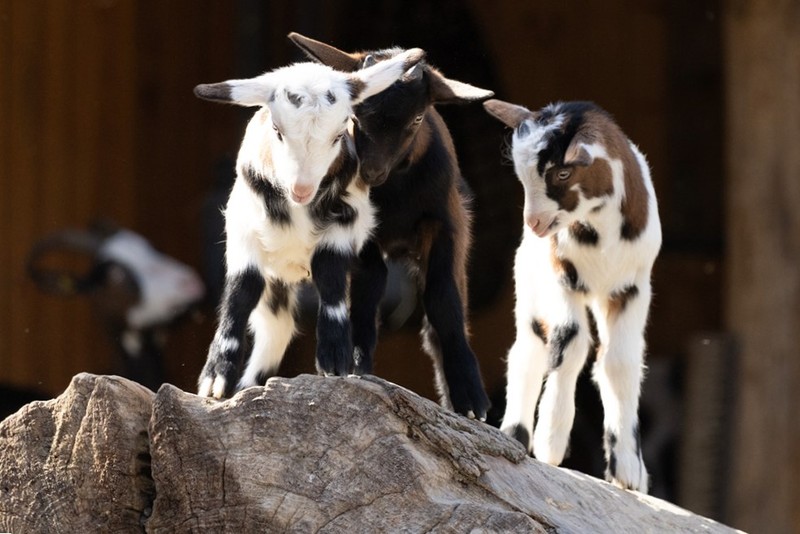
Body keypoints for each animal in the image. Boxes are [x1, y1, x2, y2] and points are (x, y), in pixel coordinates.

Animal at [194, 50, 426, 399]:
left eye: (340, 133)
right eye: (277, 129)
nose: (301, 189)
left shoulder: (347, 222)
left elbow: (329, 275)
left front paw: (335, 360)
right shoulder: (242, 226)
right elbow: (242, 289)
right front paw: (216, 379)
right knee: (275, 328)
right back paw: (247, 386)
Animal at [289, 33, 493, 420]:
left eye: (417, 119)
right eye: (355, 114)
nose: (371, 172)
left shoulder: (446, 226)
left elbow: (443, 300)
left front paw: (469, 396)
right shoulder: (361, 233)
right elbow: (369, 286)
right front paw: (356, 362)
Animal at [483, 99, 662, 492]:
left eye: (562, 174)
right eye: (522, 176)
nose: (534, 223)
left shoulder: (633, 288)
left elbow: (620, 363)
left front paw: (629, 472)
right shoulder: (560, 274)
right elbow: (570, 339)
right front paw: (551, 440)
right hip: (529, 283)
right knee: (528, 351)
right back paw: (515, 435)